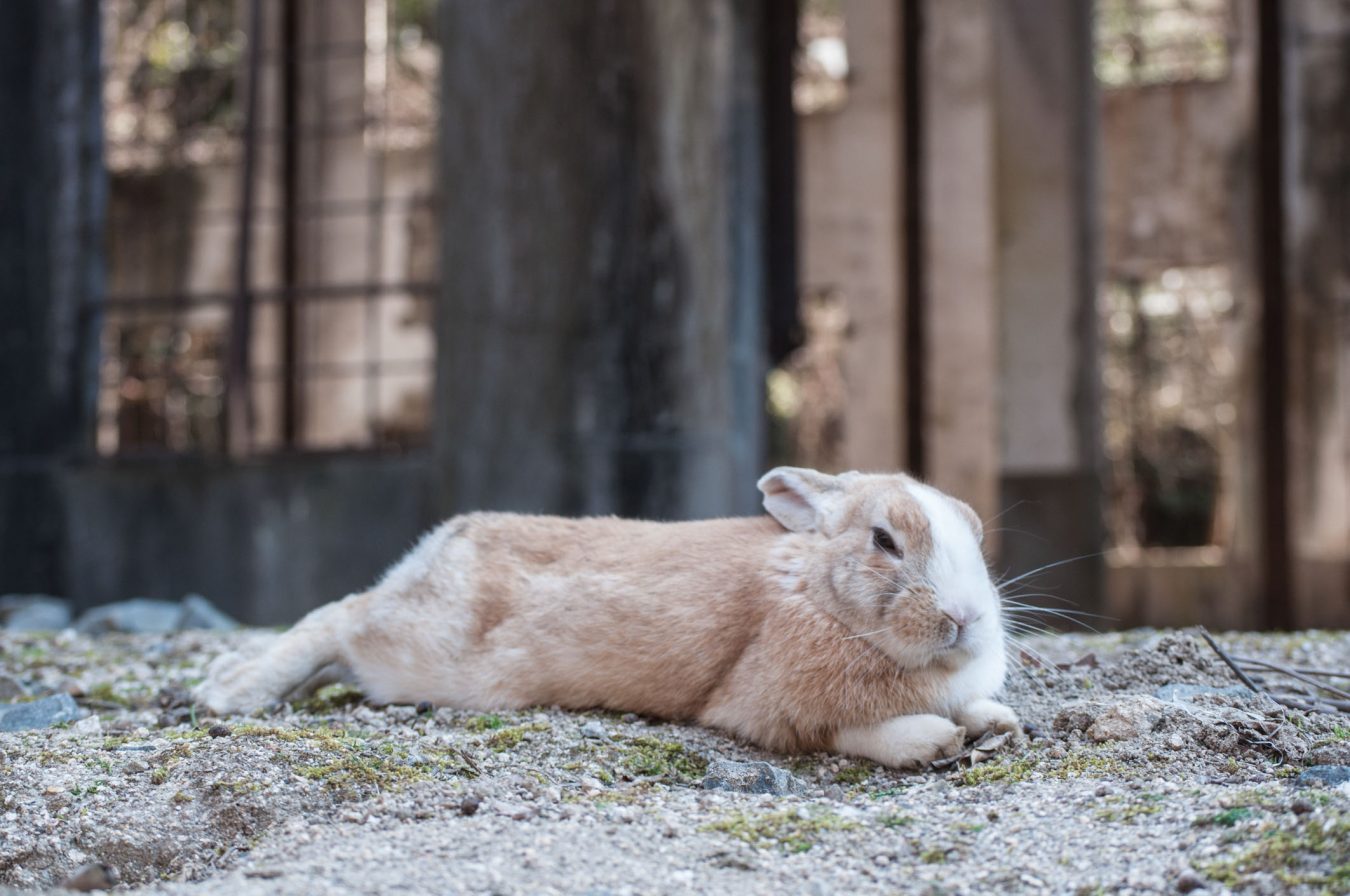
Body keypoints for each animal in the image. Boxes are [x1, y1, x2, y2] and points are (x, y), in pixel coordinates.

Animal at [195, 467, 1019, 768]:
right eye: (884, 540)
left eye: (977, 532)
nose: (966, 618)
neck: (816, 590)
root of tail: (439, 544)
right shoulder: (767, 707)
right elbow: (853, 731)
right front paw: (934, 740)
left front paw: (995, 722)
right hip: (415, 652)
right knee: (342, 617)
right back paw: (227, 691)